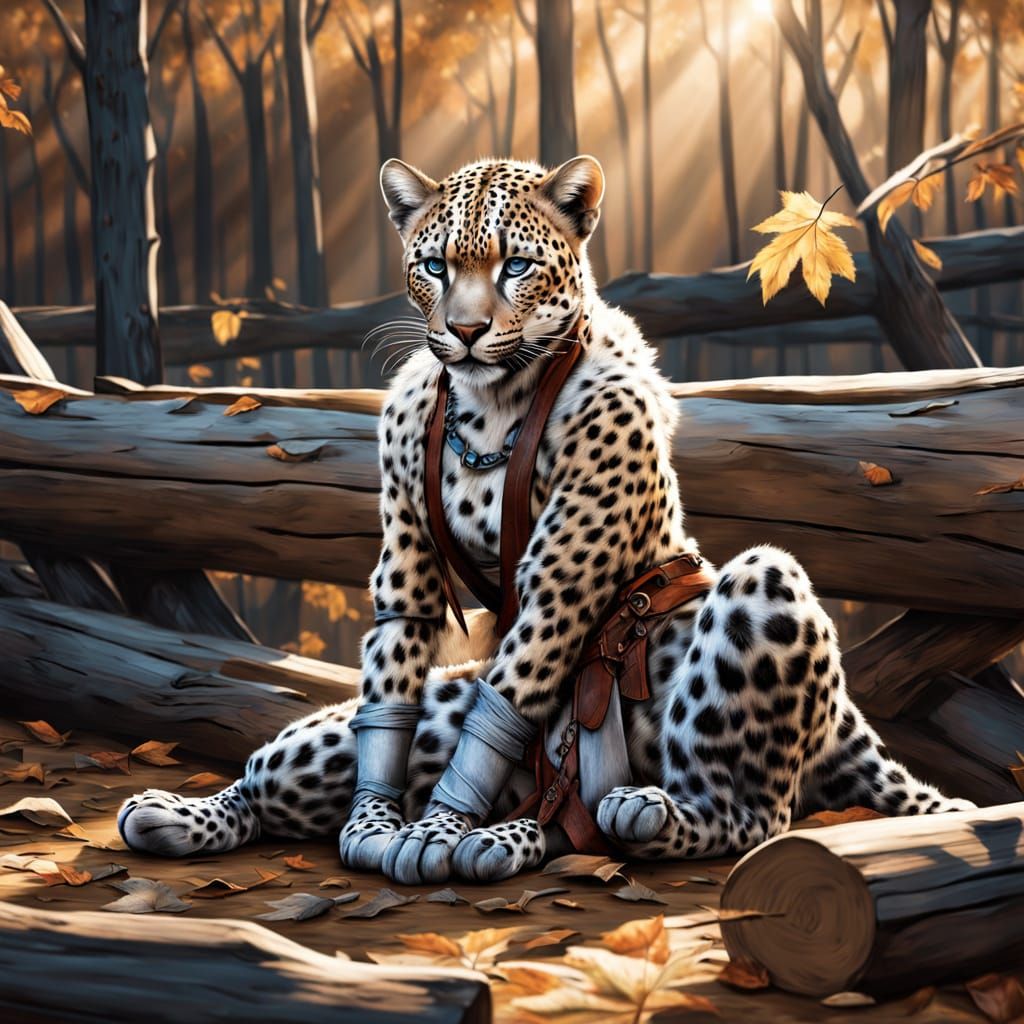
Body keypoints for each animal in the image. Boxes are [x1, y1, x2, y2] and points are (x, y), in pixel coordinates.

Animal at [118, 155, 973, 885]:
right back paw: (176, 815)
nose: (465, 331)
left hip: (759, 601)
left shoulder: (560, 582)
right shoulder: (406, 559)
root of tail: (848, 719)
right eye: (435, 266)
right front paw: (376, 824)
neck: (493, 404)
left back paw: (629, 813)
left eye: (515, 266)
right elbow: (394, 665)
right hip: (360, 732)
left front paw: (436, 831)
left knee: (750, 812)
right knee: (285, 770)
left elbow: (510, 691)